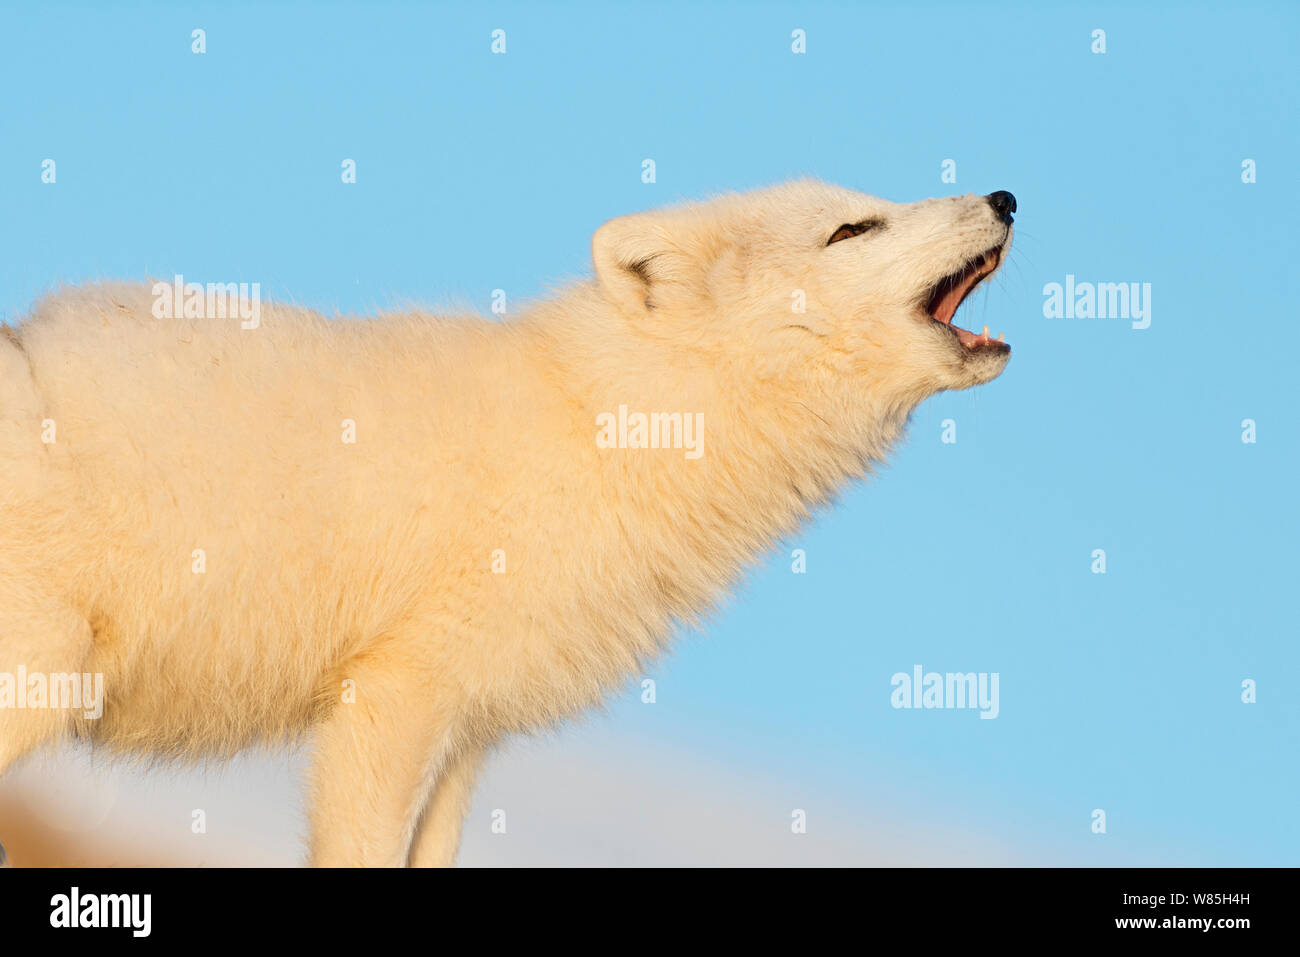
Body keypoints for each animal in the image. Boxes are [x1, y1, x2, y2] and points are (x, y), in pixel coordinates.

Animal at [0, 181, 1016, 866]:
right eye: (853, 227)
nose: (1005, 195)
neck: (604, 429)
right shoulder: (393, 695)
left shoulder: (468, 731)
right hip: (45, 675)